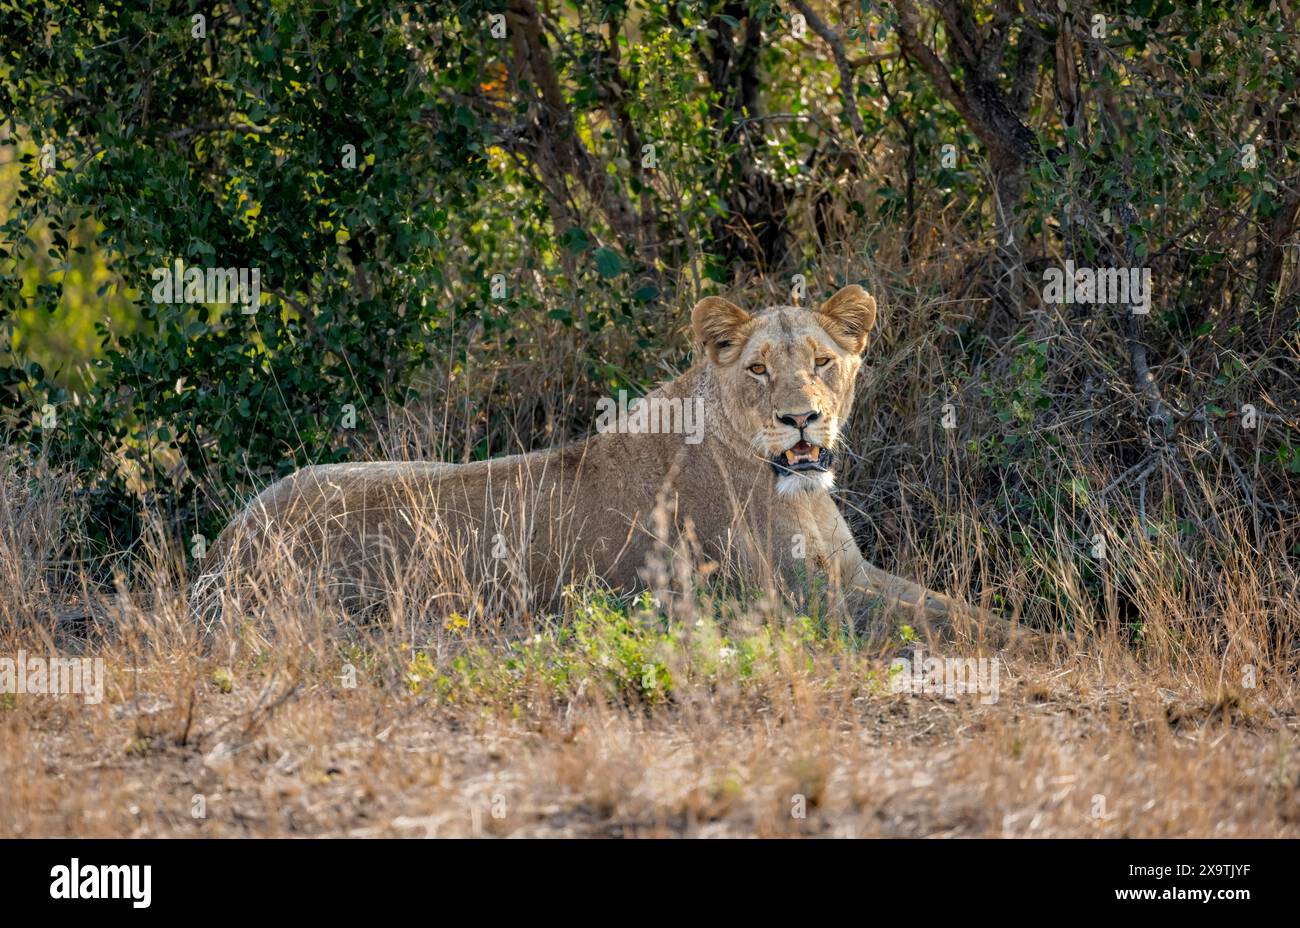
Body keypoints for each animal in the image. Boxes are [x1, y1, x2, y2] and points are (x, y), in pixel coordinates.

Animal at [195, 285, 978, 630]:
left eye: (821, 362)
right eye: (758, 369)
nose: (801, 418)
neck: (798, 489)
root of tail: (222, 547)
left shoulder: (852, 572)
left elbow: (954, 605)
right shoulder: (796, 596)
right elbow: (949, 626)